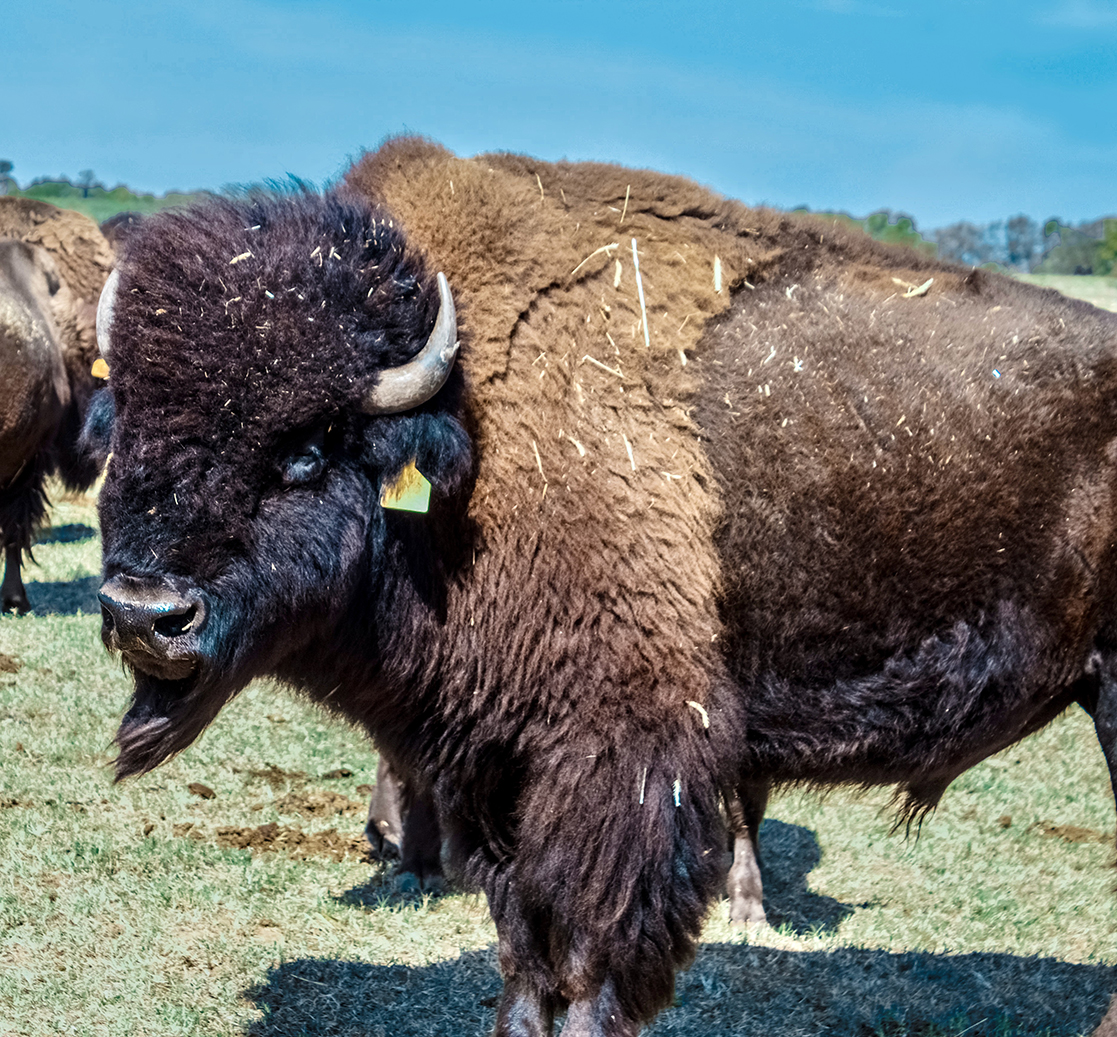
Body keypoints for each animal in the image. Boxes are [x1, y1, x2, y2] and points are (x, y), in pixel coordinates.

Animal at [92, 138, 1117, 1036]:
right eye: (126, 422)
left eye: (306, 449)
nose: (147, 614)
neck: (470, 430)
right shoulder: (498, 764)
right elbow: (522, 951)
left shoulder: (622, 762)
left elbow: (588, 956)